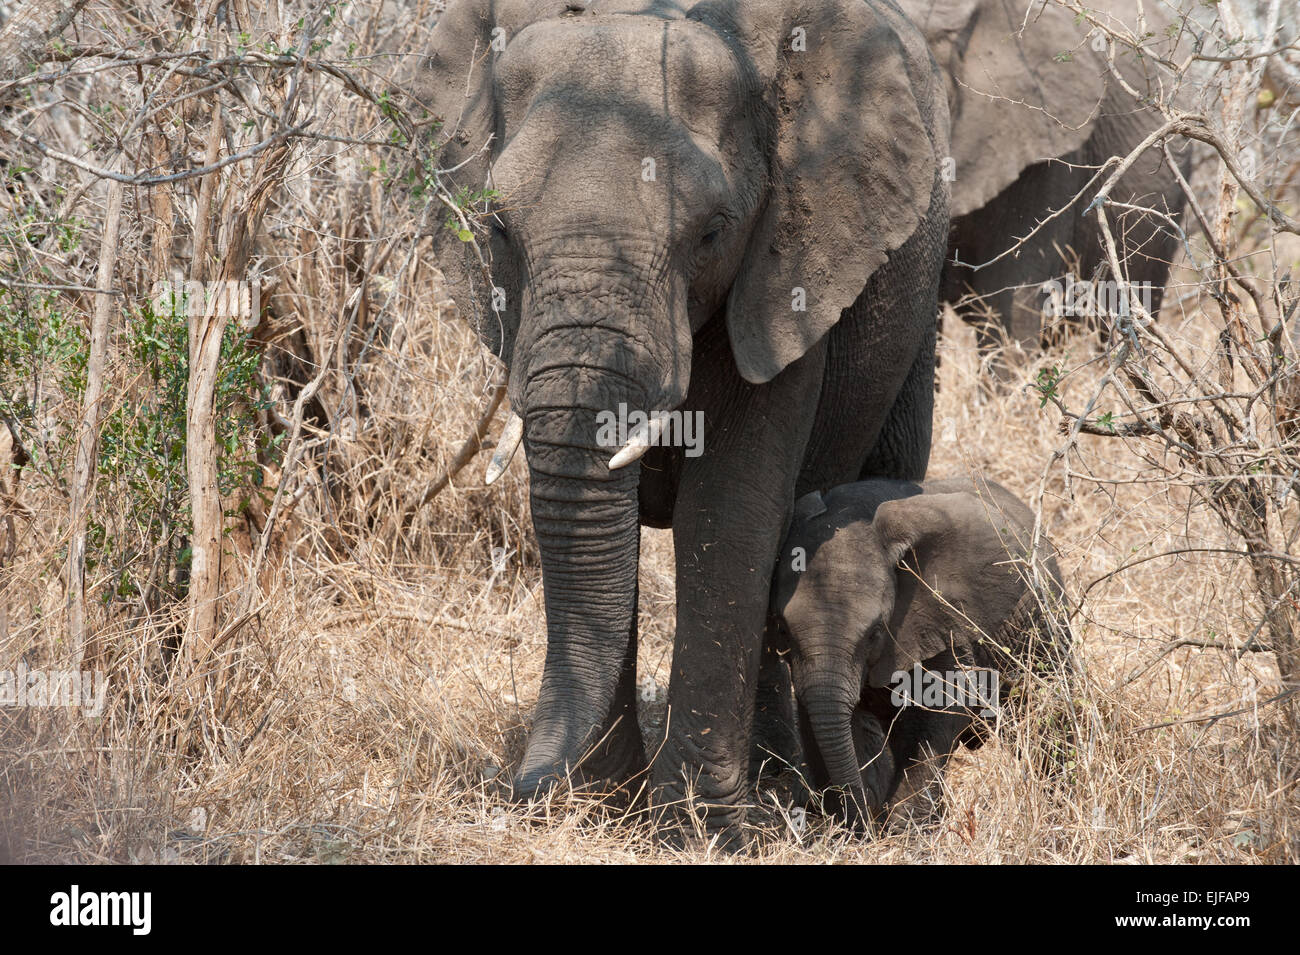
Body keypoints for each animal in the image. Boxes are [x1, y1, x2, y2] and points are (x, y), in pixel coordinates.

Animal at [414, 0, 951, 840]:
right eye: (497, 228)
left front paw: (707, 831)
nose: (526, 790)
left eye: (710, 232)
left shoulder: (785, 273)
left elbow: (725, 511)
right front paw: (602, 805)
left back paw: (795, 786)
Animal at [771, 476, 1073, 827]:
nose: (868, 820)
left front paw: (902, 828)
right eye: (782, 629)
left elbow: (935, 715)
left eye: (875, 632)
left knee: (1047, 712)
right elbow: (817, 718)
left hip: (1041, 617)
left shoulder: (941, 620)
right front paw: (845, 820)